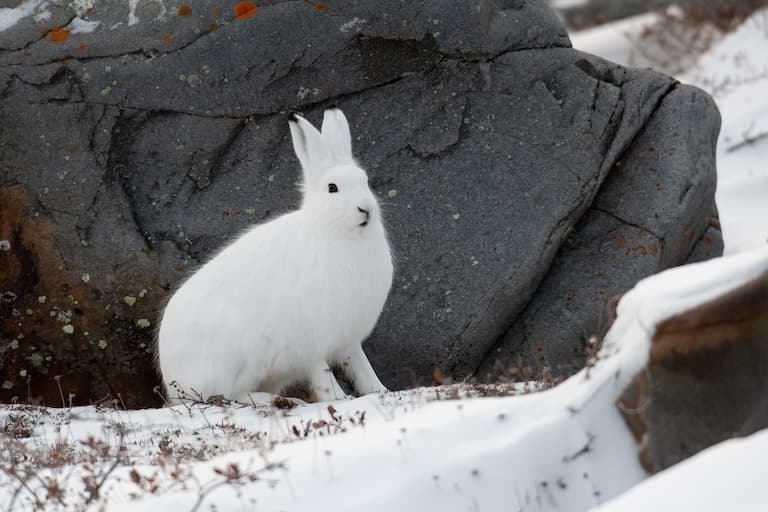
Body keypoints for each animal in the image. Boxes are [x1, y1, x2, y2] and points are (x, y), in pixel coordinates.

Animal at [156, 108, 393, 404]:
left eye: (365, 181)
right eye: (332, 188)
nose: (366, 209)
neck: (335, 233)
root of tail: (174, 382)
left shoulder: (348, 335)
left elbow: (360, 365)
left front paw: (380, 391)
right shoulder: (312, 335)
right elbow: (322, 371)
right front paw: (338, 399)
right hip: (243, 350)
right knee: (230, 395)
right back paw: (282, 401)